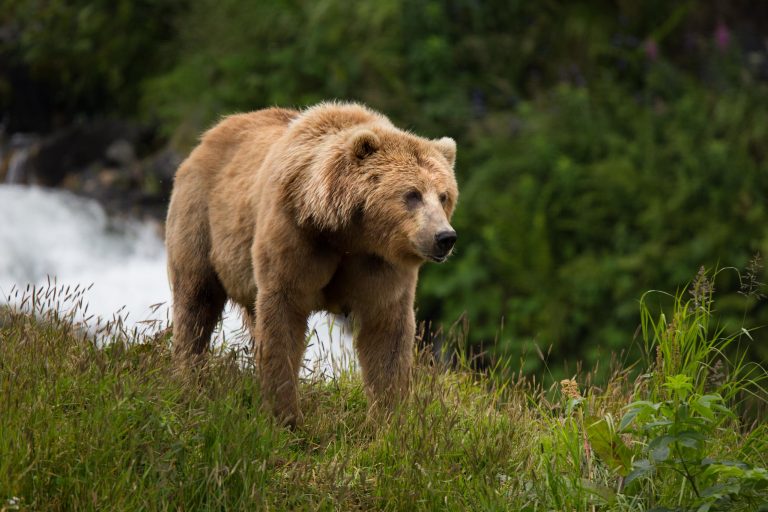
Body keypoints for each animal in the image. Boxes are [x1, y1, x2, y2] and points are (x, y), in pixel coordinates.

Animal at [165, 102, 458, 426]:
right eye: (412, 194)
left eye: (444, 196)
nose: (445, 237)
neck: (348, 232)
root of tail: (209, 135)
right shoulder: (295, 238)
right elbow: (282, 321)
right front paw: (285, 415)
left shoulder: (380, 264)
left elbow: (386, 333)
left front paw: (389, 417)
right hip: (201, 218)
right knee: (196, 302)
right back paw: (189, 378)